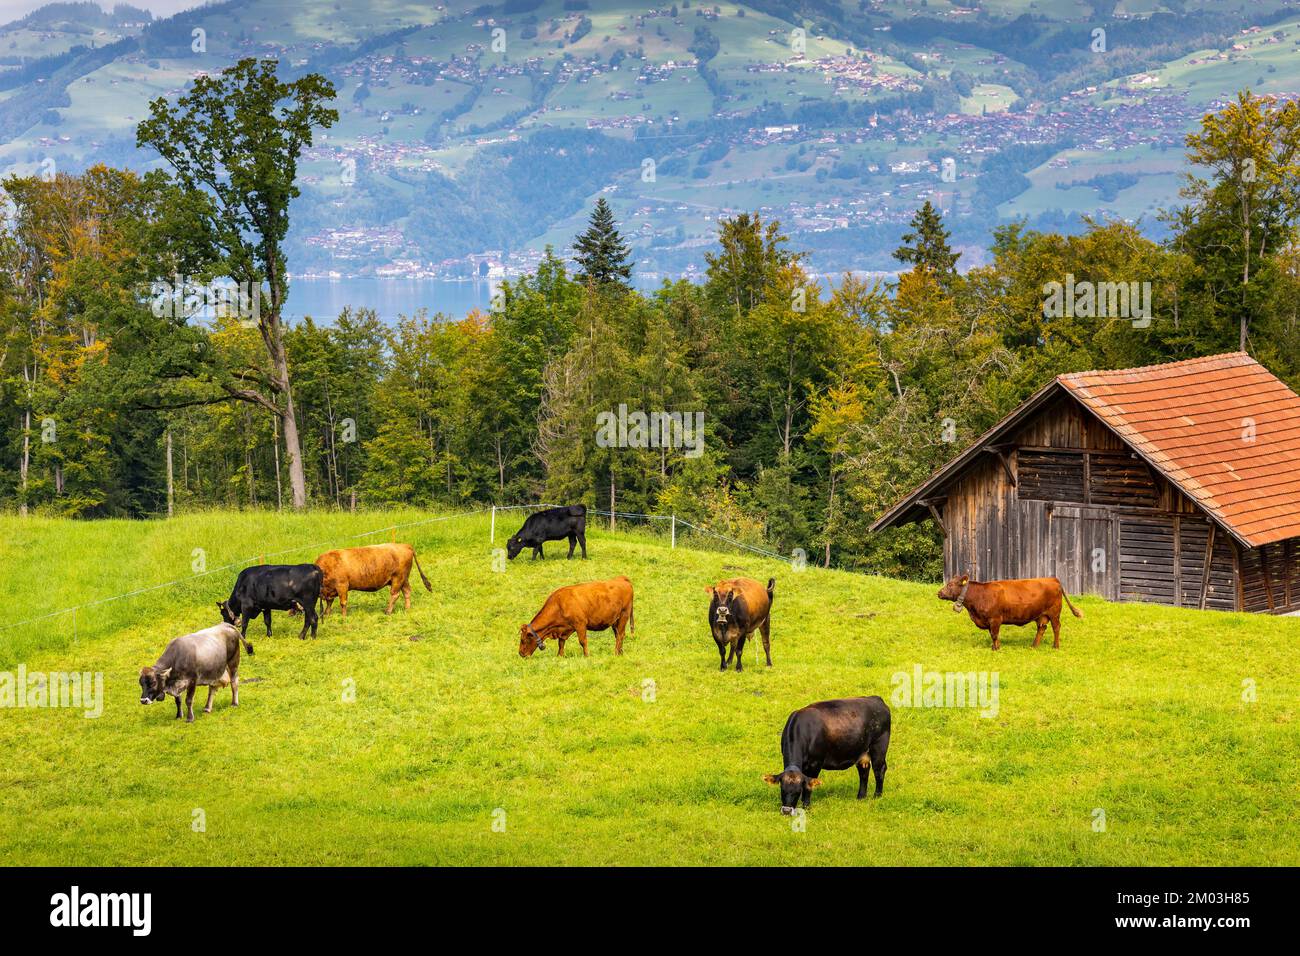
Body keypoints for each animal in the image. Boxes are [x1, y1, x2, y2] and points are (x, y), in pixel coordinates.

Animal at [937, 574, 1082, 650]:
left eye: (950, 584)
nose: (939, 593)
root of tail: (1053, 579)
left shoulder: (995, 619)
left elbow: (994, 634)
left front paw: (996, 649)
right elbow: (992, 634)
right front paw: (995, 647)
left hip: (1054, 613)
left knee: (1056, 627)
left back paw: (1055, 646)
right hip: (1041, 615)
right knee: (1041, 628)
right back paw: (1034, 646)